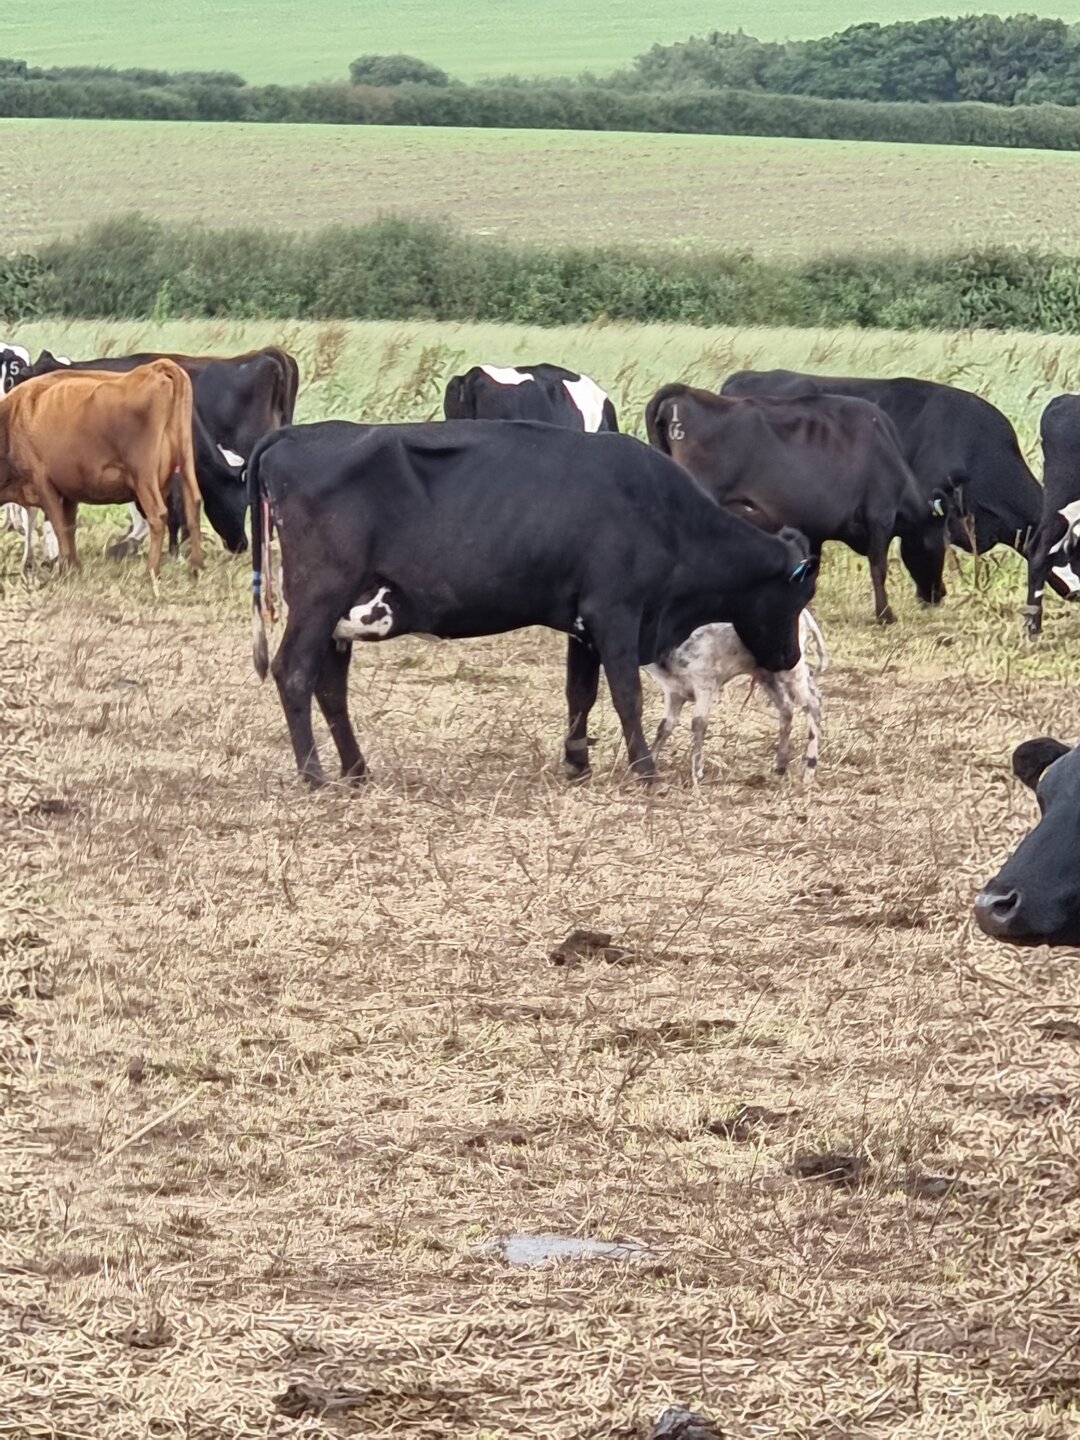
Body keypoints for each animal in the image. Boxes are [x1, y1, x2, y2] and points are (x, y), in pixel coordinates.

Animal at [0, 361, 203, 580]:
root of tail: (156, 367)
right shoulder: (69, 489)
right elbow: (69, 527)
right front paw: (73, 567)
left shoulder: (42, 481)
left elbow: (59, 526)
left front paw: (62, 569)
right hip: (185, 462)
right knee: (193, 504)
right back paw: (196, 566)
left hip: (144, 479)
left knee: (158, 516)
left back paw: (151, 572)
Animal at [645, 383, 948, 624]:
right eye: (940, 546)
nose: (940, 594)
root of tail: (684, 393)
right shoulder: (880, 515)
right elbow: (879, 568)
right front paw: (885, 615)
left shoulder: (814, 529)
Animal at [646, 609, 826, 782]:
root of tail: (804, 613)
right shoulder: (674, 691)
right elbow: (664, 727)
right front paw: (649, 766)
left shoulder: (705, 683)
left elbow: (698, 723)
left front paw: (697, 772)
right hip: (767, 674)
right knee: (786, 708)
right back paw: (780, 766)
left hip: (791, 669)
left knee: (812, 704)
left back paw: (809, 769)